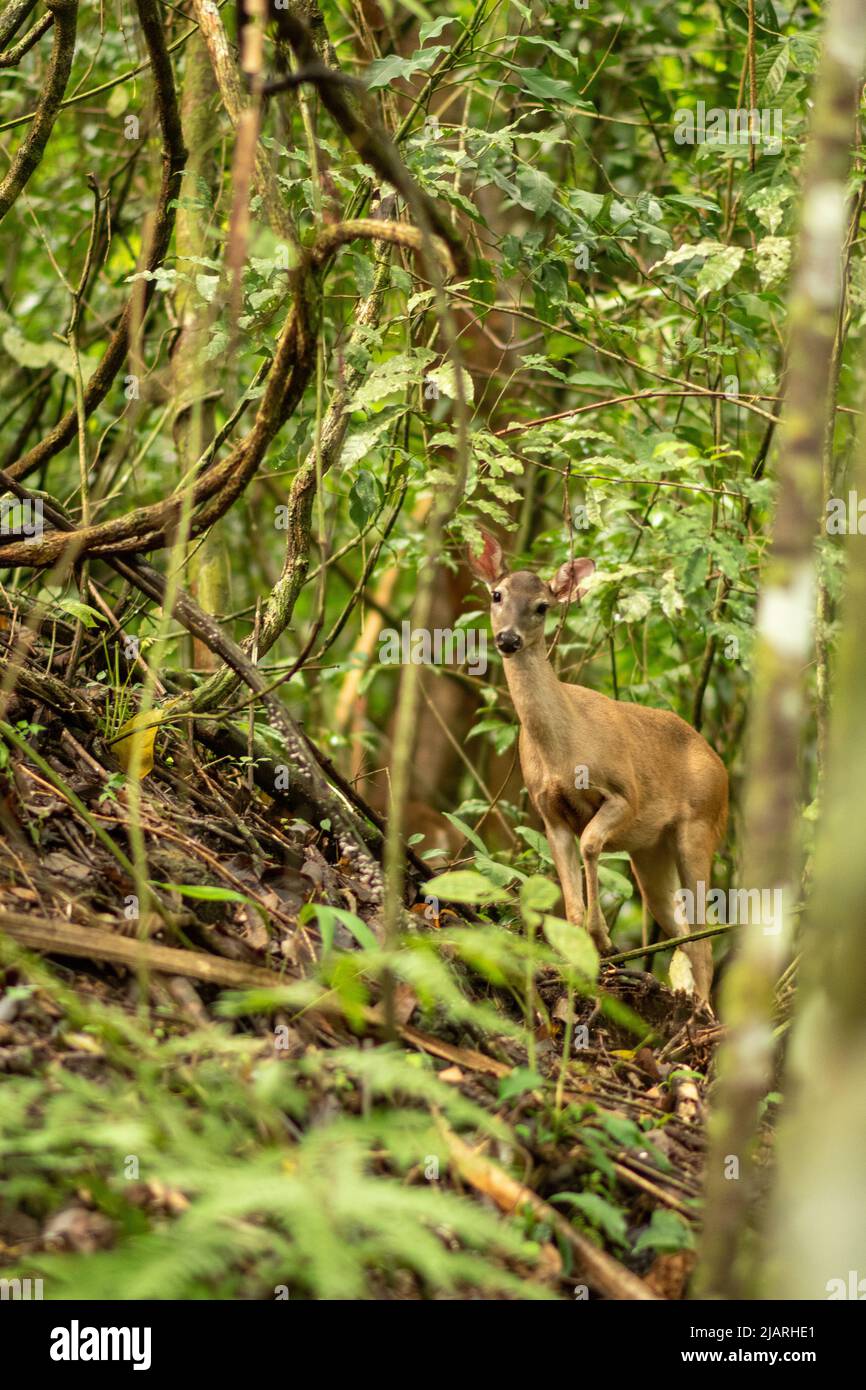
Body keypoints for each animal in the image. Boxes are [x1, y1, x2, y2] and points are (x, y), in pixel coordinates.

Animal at [467, 529, 728, 1001]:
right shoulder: (548, 810)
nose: (508, 639)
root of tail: (720, 764)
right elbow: (568, 900)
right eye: (497, 594)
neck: (562, 752)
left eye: (542, 606)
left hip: (701, 824)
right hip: (651, 850)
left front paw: (602, 938)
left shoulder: (625, 792)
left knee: (704, 939)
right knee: (681, 928)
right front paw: (582, 949)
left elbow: (591, 843)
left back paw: (700, 1010)